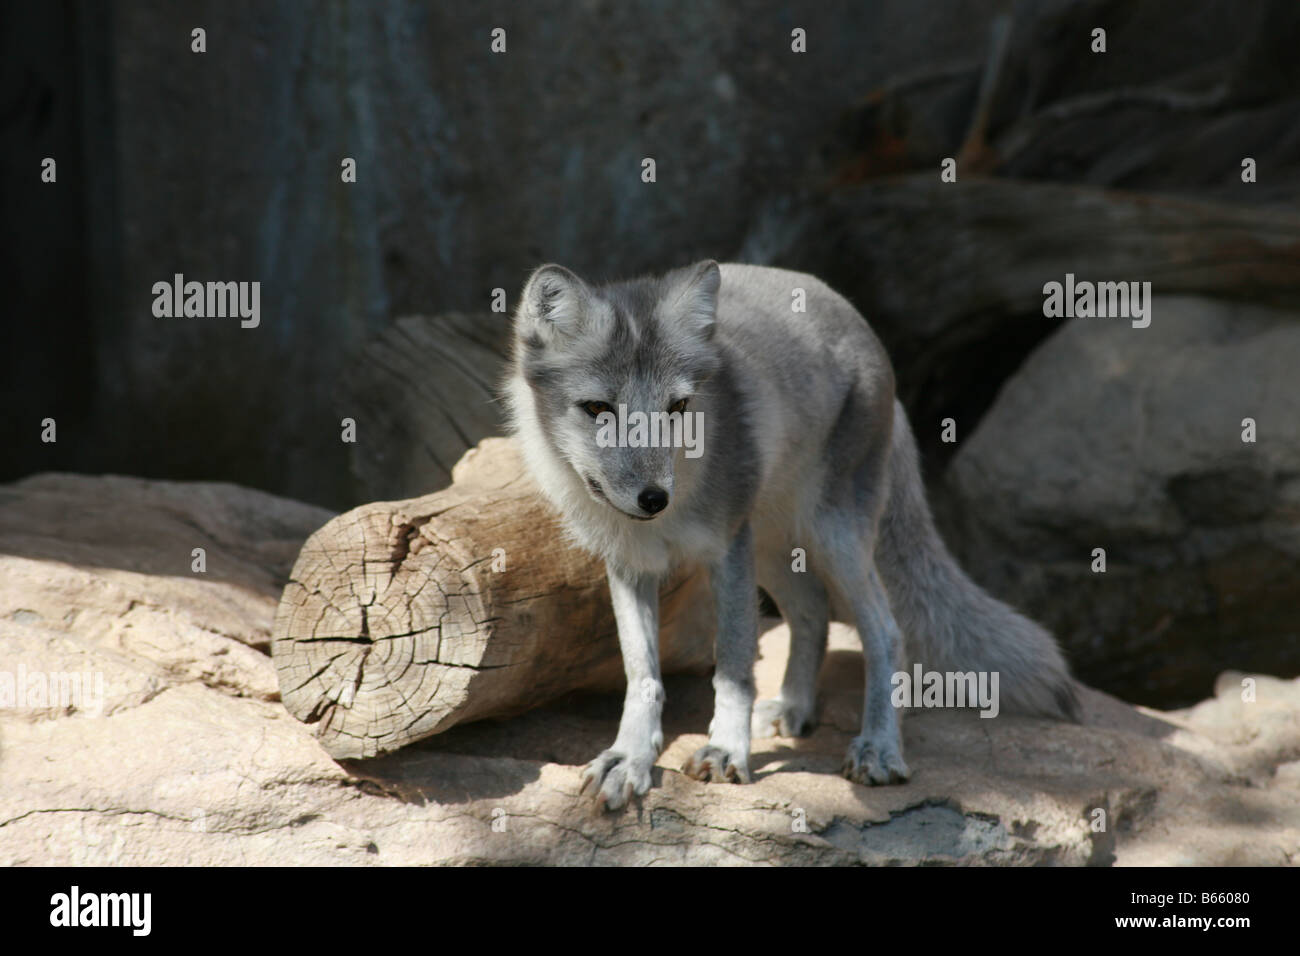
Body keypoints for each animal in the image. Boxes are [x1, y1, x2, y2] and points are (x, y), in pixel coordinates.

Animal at [504, 260, 1078, 810]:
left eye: (677, 409)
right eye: (598, 409)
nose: (653, 499)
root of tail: (859, 322)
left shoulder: (728, 549)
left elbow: (733, 668)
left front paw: (726, 750)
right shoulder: (629, 565)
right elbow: (642, 674)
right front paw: (630, 758)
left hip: (833, 537)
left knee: (886, 631)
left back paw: (879, 747)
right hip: (774, 547)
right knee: (814, 613)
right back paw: (796, 710)